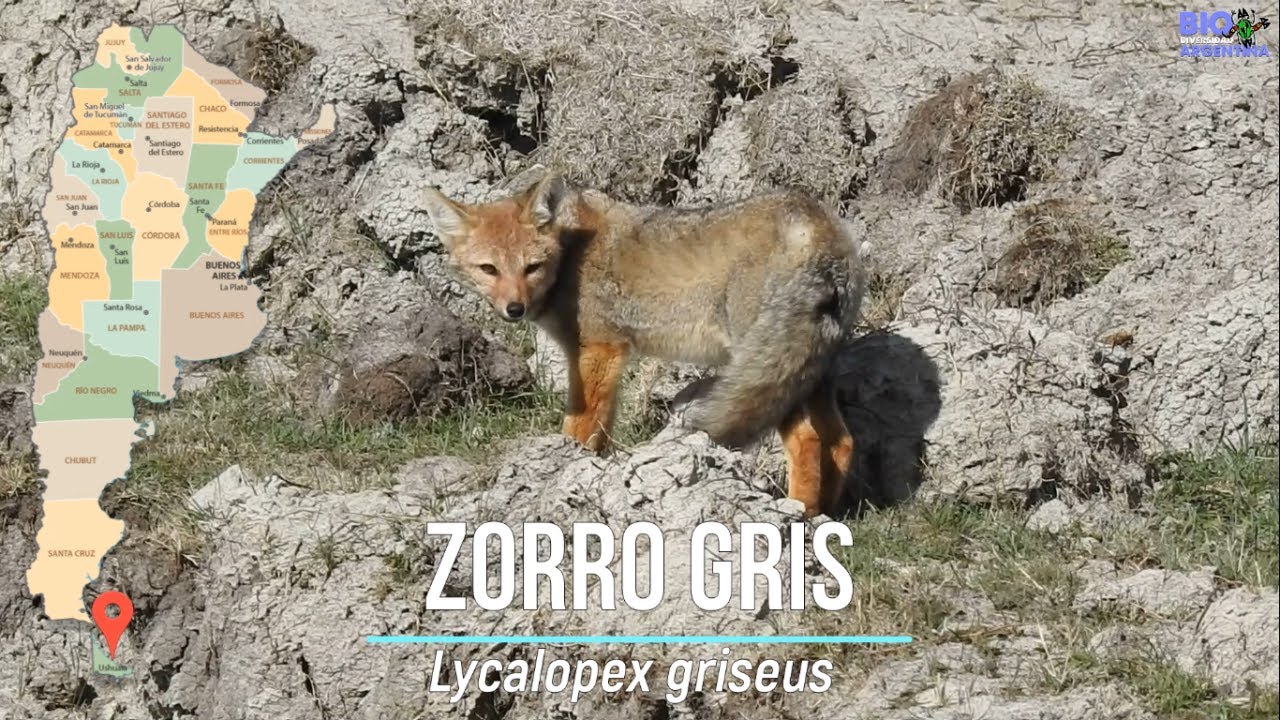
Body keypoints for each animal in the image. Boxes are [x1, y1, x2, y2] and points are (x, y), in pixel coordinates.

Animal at [422, 174, 865, 518]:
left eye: (532, 267)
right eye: (489, 269)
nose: (514, 309)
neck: (569, 253)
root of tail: (818, 224)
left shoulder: (598, 349)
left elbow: (581, 427)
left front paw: (571, 461)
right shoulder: (604, 355)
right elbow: (601, 431)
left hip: (768, 368)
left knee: (808, 441)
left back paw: (797, 514)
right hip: (805, 372)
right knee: (841, 441)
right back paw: (827, 515)